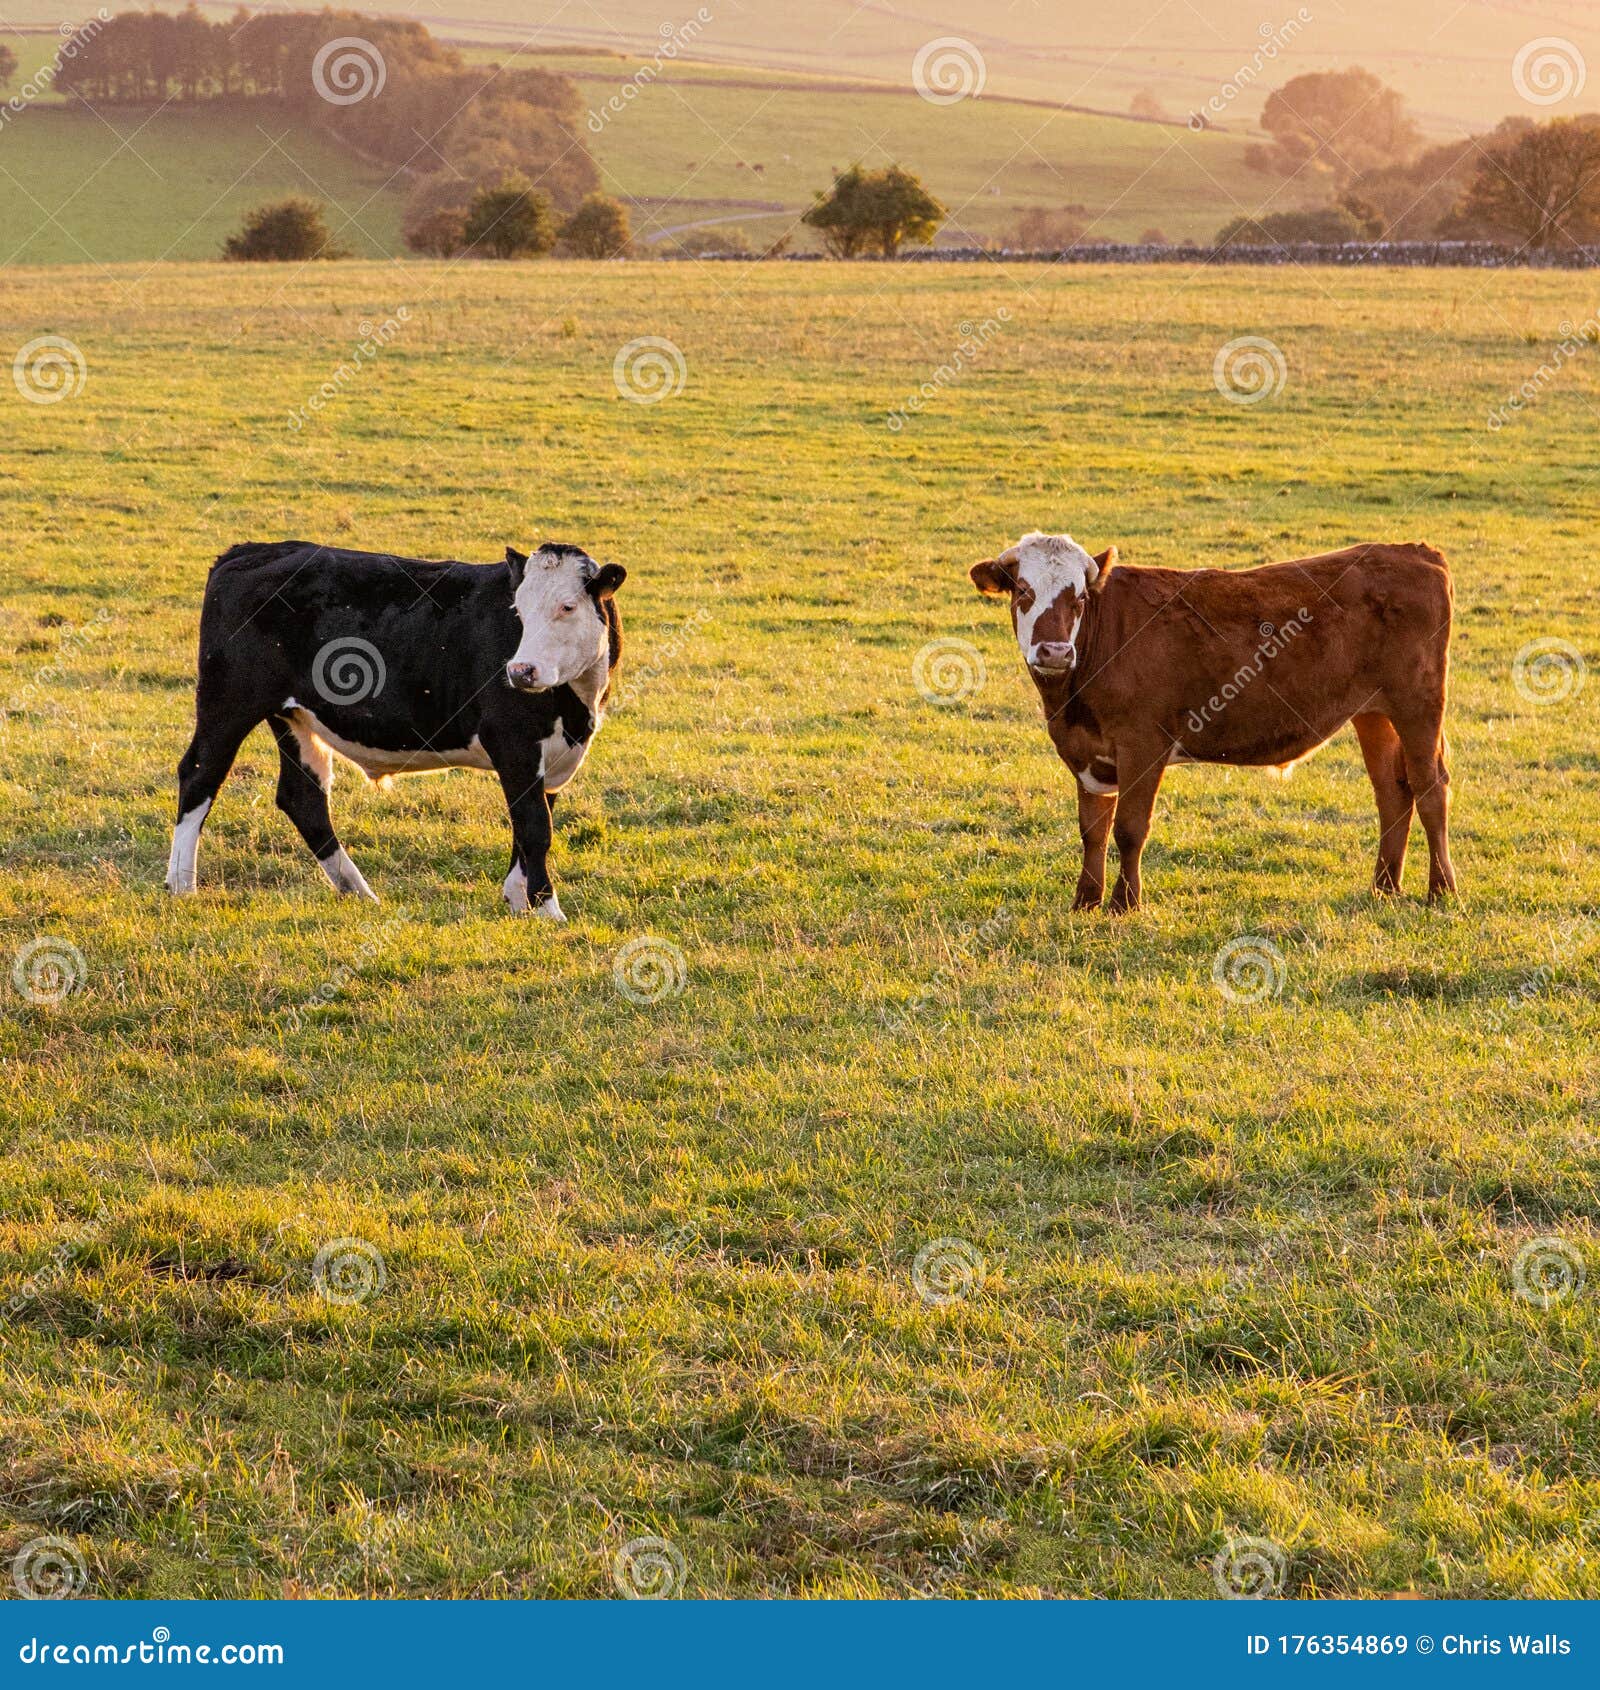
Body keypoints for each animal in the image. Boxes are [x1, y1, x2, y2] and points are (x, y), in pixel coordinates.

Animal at [167, 539, 625, 919]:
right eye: (518, 610)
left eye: (568, 606)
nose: (520, 671)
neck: (577, 705)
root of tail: (249, 550)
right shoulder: (513, 742)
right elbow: (534, 827)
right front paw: (548, 910)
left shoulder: (554, 756)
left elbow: (531, 822)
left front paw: (518, 898)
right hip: (227, 702)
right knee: (199, 774)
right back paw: (182, 884)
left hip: (293, 717)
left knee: (303, 797)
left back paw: (356, 889)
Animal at [970, 532, 1457, 912]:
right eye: (1023, 591)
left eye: (1081, 598)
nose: (1054, 652)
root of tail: (1415, 551)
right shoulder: (1090, 752)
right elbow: (1093, 829)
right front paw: (1085, 902)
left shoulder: (1142, 743)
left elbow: (1129, 828)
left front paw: (1124, 905)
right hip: (1373, 713)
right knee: (1392, 792)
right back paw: (1384, 887)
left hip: (1419, 704)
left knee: (1430, 787)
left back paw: (1441, 890)